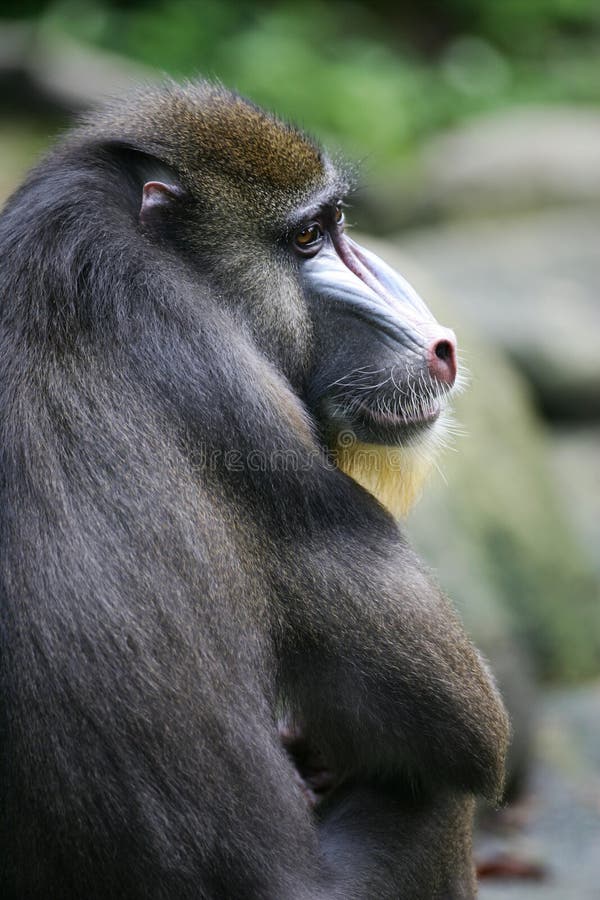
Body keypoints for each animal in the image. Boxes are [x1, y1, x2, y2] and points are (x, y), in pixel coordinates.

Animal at [0, 81, 509, 899]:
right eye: (307, 237)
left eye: (335, 224)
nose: (441, 347)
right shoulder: (237, 394)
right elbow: (466, 731)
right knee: (436, 795)